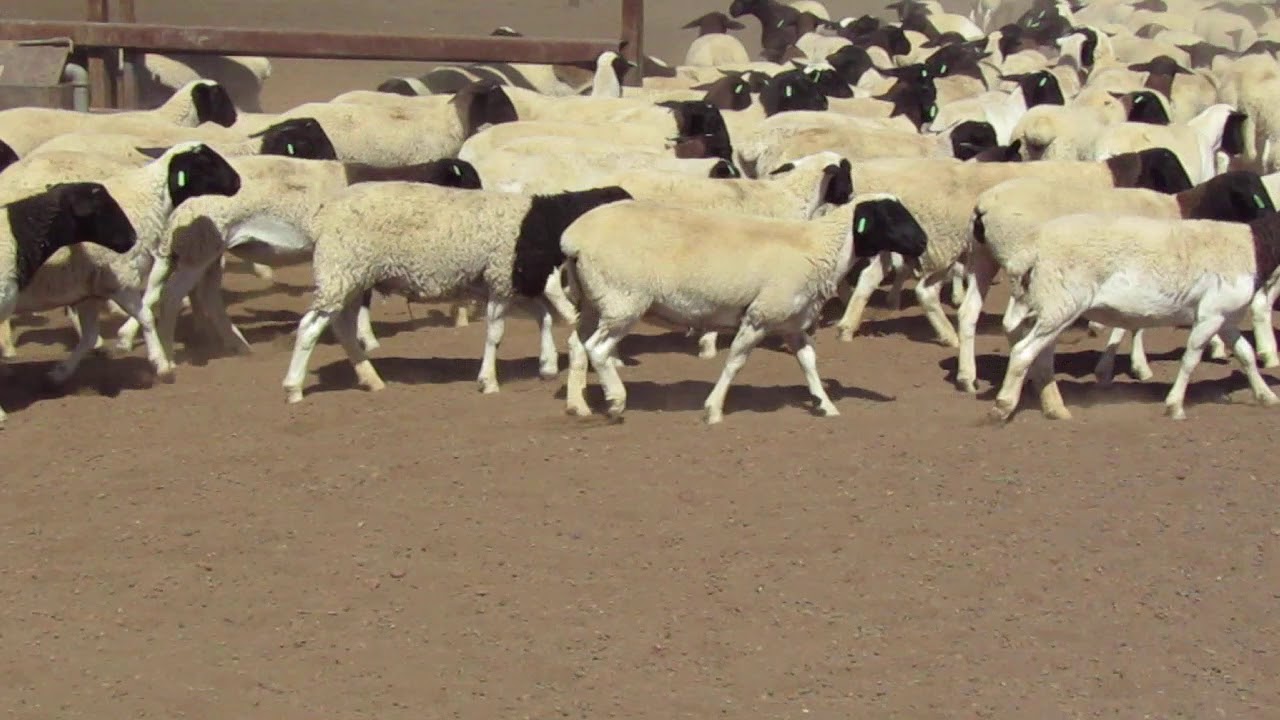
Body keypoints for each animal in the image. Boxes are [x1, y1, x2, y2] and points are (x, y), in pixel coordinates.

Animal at [281, 184, 634, 404]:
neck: (543, 223)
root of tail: (323, 214)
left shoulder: (515, 283)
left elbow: (544, 317)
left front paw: (546, 366)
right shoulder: (501, 279)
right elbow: (496, 334)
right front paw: (488, 382)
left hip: (352, 278)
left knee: (342, 327)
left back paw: (371, 379)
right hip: (339, 270)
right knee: (310, 327)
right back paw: (294, 387)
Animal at [556, 192, 928, 423]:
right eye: (890, 216)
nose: (924, 242)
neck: (821, 247)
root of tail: (573, 239)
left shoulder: (793, 323)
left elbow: (809, 363)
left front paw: (826, 405)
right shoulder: (759, 315)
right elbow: (735, 362)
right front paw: (713, 410)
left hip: (594, 301)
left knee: (577, 346)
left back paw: (578, 405)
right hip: (624, 299)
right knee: (597, 348)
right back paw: (615, 402)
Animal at [832, 148, 1194, 347]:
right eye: (1169, 170)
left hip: (902, 244)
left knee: (868, 279)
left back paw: (848, 327)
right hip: (939, 244)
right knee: (925, 292)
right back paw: (950, 337)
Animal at [958, 170, 1277, 394]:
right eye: (1250, 196)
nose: (1270, 221)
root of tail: (983, 205)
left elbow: (1132, 323)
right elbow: (1130, 325)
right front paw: (1128, 367)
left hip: (984, 261)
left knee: (969, 312)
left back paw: (968, 377)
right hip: (1020, 267)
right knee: (1012, 324)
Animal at [987, 210, 1280, 422]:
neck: (1253, 248)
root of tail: (1033, 248)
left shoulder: (1225, 318)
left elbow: (1245, 354)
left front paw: (1266, 397)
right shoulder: (1211, 315)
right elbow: (1190, 359)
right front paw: (1175, 406)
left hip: (1039, 301)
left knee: (1026, 343)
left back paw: (1054, 409)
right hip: (1061, 303)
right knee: (1023, 352)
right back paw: (1003, 406)